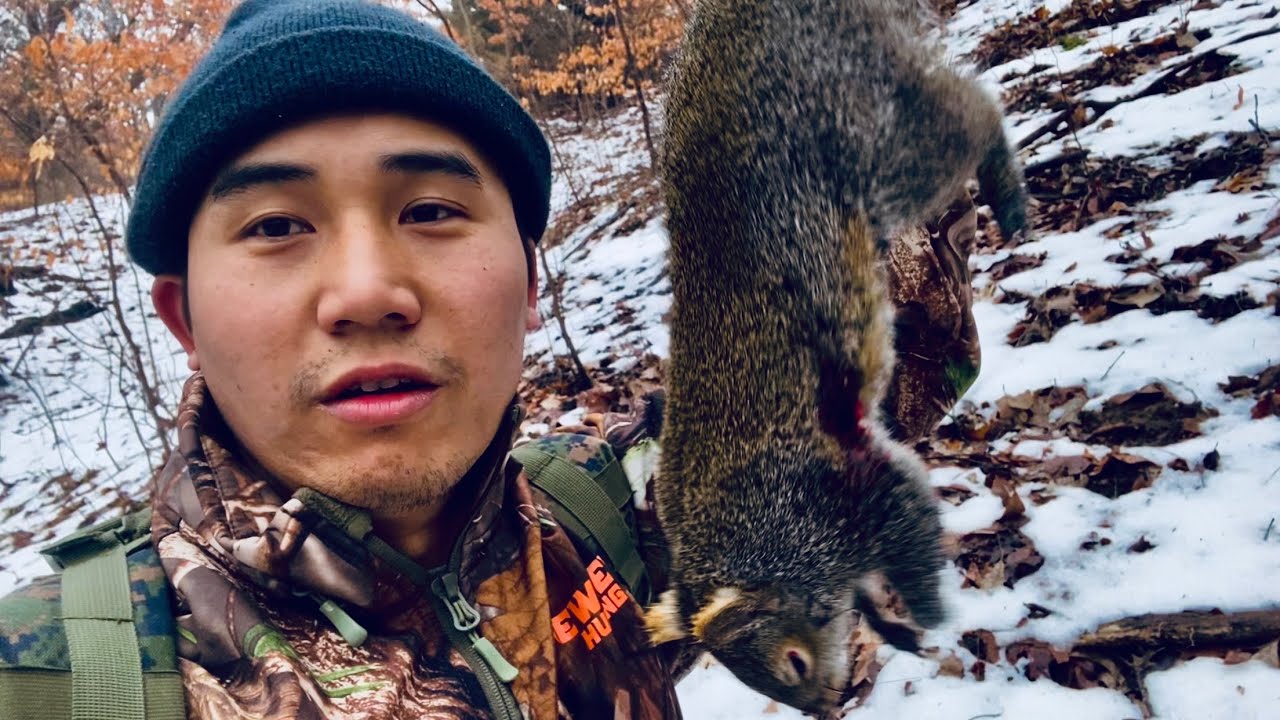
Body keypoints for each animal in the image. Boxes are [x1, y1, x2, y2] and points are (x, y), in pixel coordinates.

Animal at [646, 0, 1027, 716]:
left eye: (790, 661)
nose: (829, 704)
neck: (752, 544)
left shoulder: (837, 493)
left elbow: (906, 522)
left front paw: (931, 615)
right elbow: (867, 594)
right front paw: (895, 629)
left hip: (871, 131)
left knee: (968, 112)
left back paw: (1007, 189)